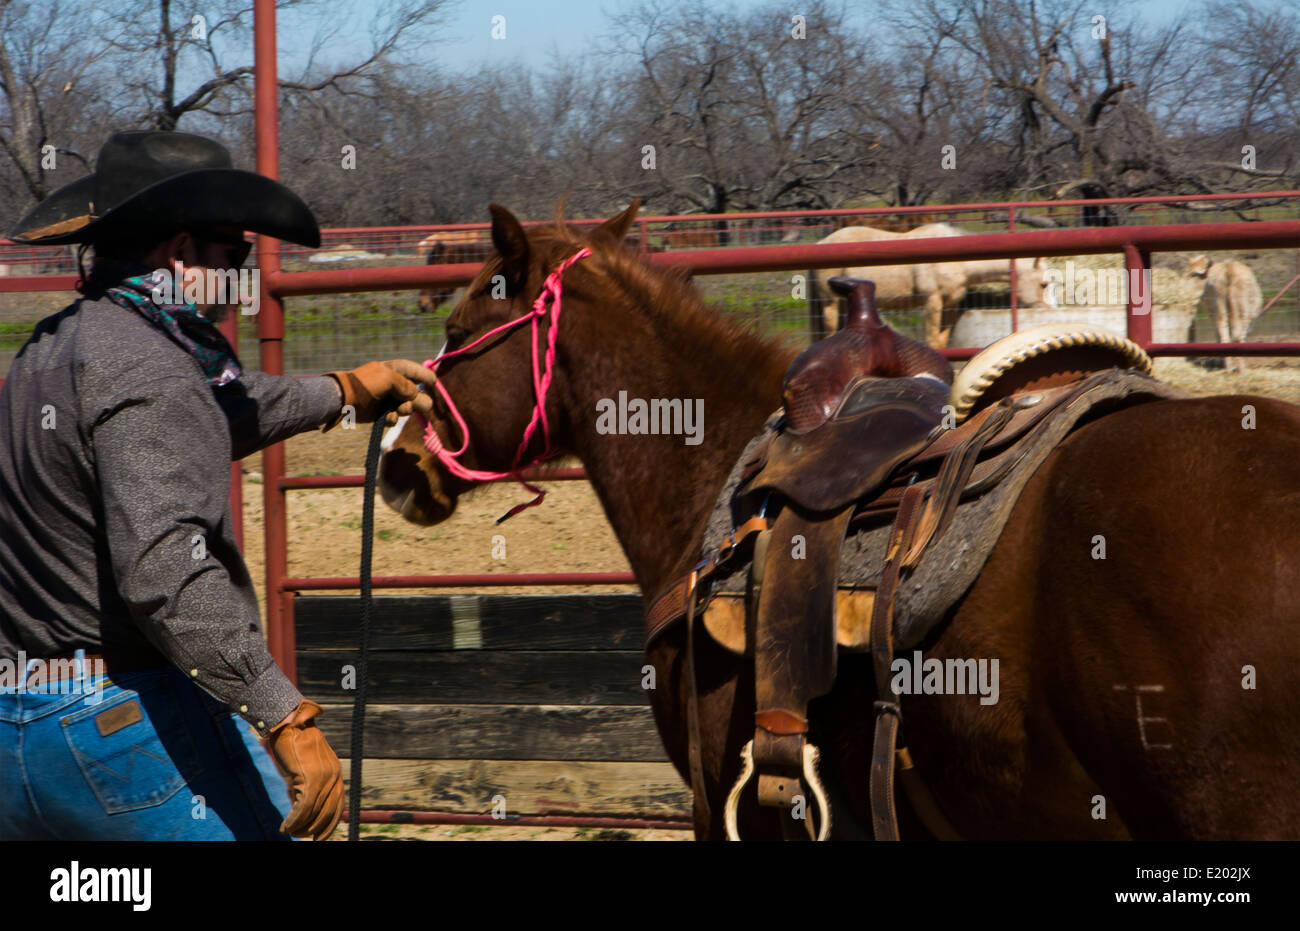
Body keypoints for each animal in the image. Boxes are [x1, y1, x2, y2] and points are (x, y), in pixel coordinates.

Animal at [808, 223, 1057, 348]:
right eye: (1043, 284)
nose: (1051, 310)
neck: (957, 261)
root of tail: (820, 243)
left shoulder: (950, 305)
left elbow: (941, 341)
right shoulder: (932, 302)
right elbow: (932, 340)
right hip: (830, 304)